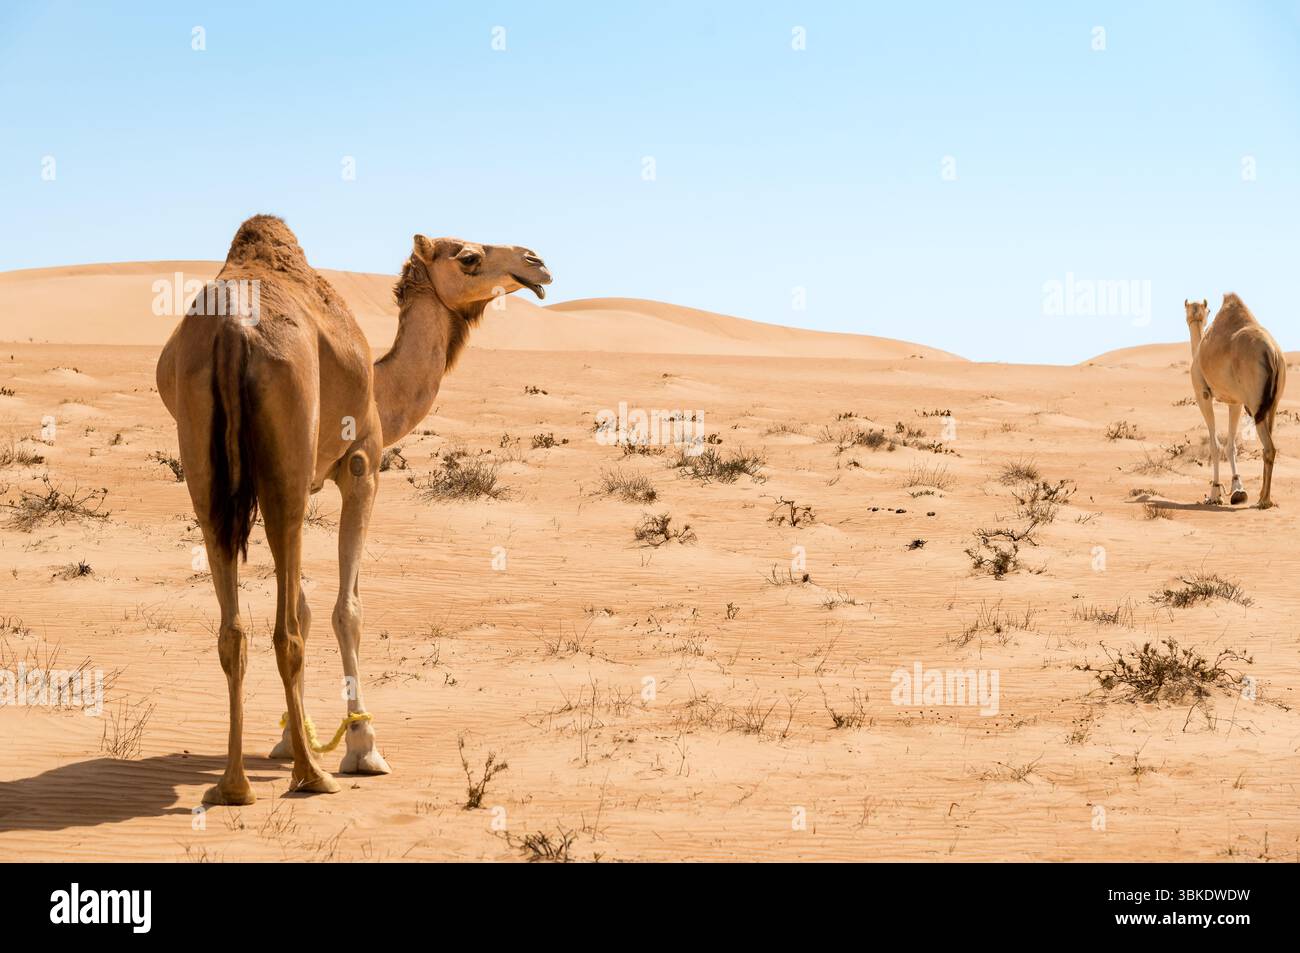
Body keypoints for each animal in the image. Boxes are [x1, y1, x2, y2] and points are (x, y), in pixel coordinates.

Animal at [156, 215, 551, 804]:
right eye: (468, 258)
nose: (536, 263)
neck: (382, 390)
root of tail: (231, 333)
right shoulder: (362, 466)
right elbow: (347, 610)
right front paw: (363, 749)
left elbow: (304, 605)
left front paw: (286, 739)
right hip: (287, 464)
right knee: (287, 630)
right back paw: (310, 775)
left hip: (207, 475)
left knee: (235, 626)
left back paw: (235, 784)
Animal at [1185, 294, 1285, 508]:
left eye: (1208, 311)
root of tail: (1271, 352)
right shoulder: (1236, 401)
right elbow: (1231, 445)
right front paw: (1238, 490)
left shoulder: (1202, 394)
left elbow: (1215, 445)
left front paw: (1215, 493)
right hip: (1272, 403)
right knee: (1269, 442)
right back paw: (1263, 496)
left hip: (1255, 402)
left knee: (1269, 447)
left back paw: (1264, 500)